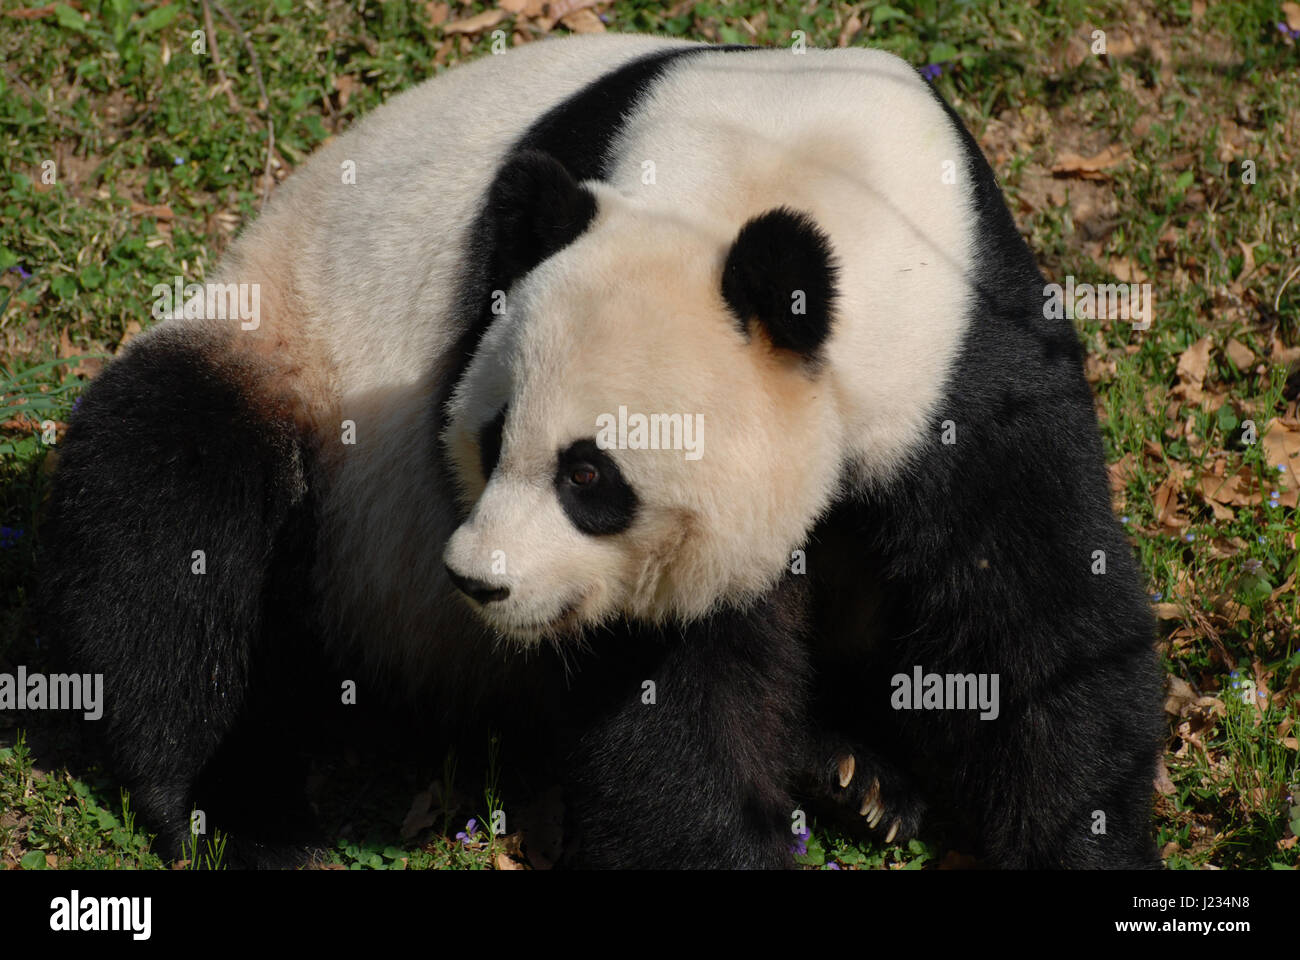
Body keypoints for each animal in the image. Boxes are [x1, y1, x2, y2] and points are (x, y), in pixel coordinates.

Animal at [40, 34, 1163, 869]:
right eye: (489, 440)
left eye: (591, 478)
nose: (479, 584)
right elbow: (661, 702)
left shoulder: (969, 351)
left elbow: (1034, 616)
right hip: (284, 362)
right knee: (174, 511)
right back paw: (236, 812)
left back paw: (860, 778)